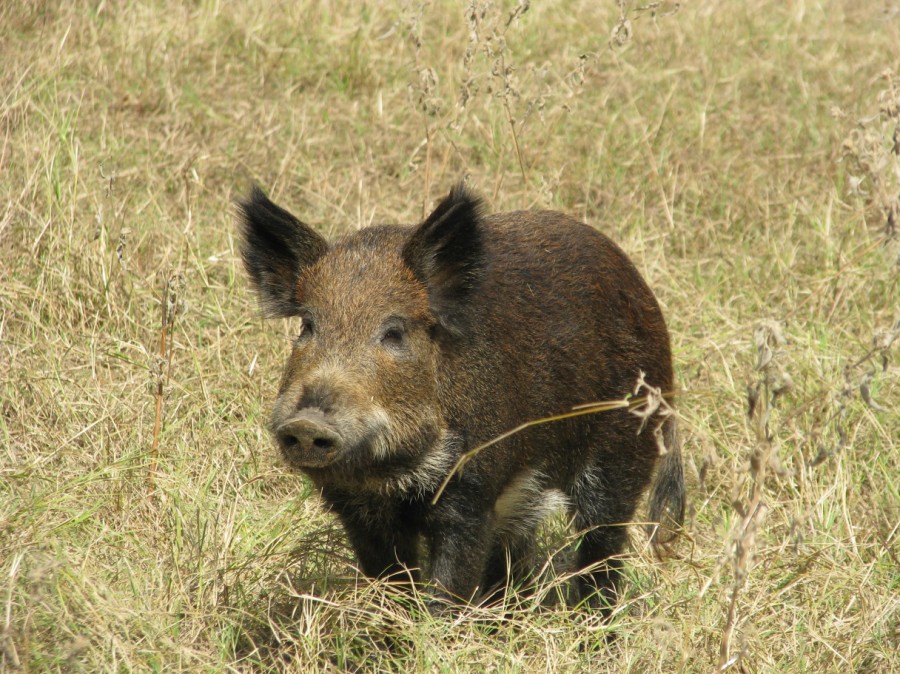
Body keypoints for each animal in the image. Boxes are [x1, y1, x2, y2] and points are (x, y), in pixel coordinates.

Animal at [239, 182, 684, 609]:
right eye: (307, 326)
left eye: (394, 331)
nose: (306, 423)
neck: (391, 475)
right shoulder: (358, 510)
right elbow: (391, 584)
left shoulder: (471, 492)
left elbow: (449, 586)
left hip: (624, 453)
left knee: (602, 550)